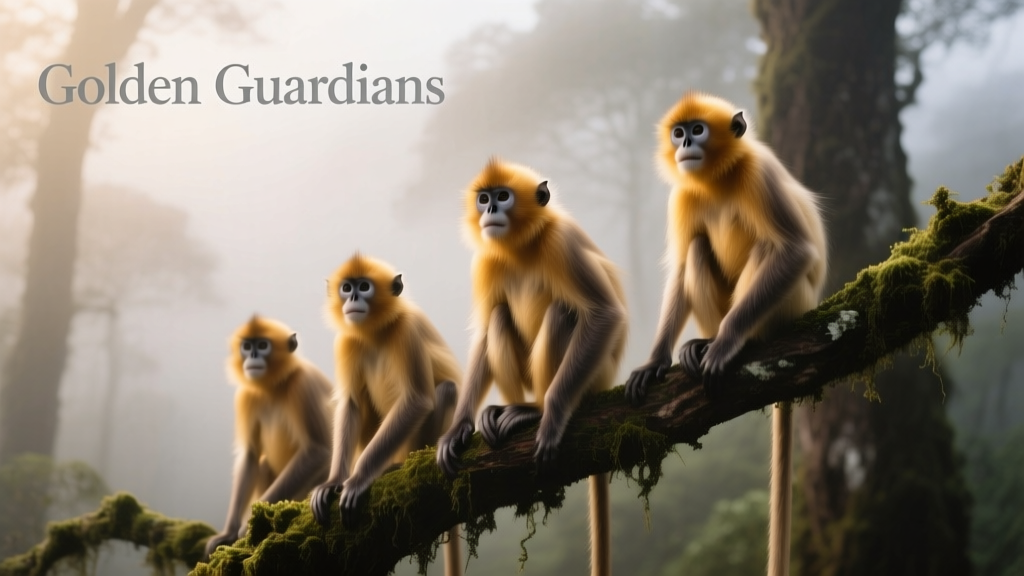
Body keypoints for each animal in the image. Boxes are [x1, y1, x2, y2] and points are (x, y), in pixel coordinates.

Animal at [204, 315, 334, 559]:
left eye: (263, 345)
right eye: (247, 346)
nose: (253, 356)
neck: (273, 387)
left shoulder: (302, 384)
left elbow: (317, 451)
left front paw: (247, 527)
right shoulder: (246, 395)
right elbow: (250, 455)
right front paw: (229, 533)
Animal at [310, 253, 463, 576]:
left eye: (364, 287)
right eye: (347, 287)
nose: (353, 298)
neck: (374, 332)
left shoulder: (407, 329)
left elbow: (417, 400)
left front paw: (358, 479)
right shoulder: (346, 341)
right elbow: (351, 405)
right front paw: (334, 481)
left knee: (446, 390)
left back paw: (397, 465)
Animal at [436, 159, 628, 576]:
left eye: (502, 196)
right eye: (484, 198)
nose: (490, 209)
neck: (520, 247)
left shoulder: (562, 242)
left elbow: (604, 314)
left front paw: (552, 417)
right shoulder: (485, 261)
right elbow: (483, 332)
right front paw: (458, 427)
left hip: (597, 373)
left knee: (564, 310)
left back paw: (534, 410)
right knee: (498, 317)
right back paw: (507, 409)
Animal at [624, 92, 827, 576]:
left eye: (697, 130)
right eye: (679, 132)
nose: (684, 145)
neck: (716, 180)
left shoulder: (760, 172)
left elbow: (795, 250)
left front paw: (729, 345)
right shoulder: (682, 194)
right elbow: (681, 265)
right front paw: (655, 361)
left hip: (793, 302)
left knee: (770, 246)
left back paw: (738, 340)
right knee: (697, 247)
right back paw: (701, 342)